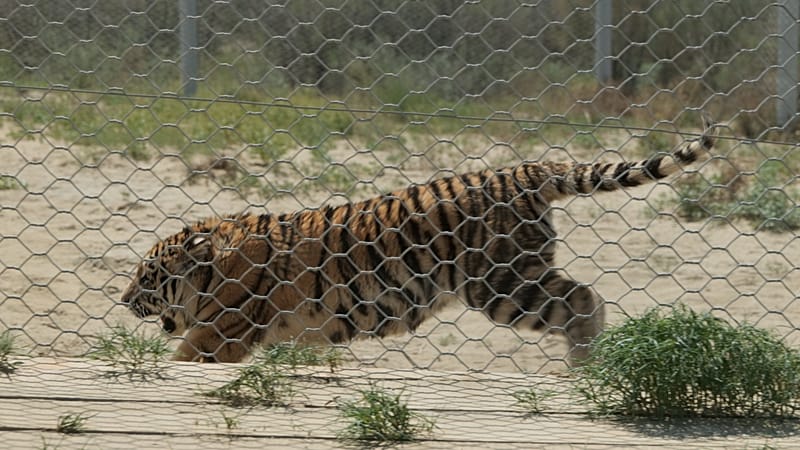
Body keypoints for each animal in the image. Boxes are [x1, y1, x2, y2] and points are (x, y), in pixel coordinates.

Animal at [121, 115, 716, 366]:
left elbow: (183, 358)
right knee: (582, 298)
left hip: (501, 285)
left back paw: (582, 365)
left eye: (148, 277)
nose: (123, 302)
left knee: (583, 300)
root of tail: (525, 169)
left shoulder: (222, 332)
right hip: (511, 280)